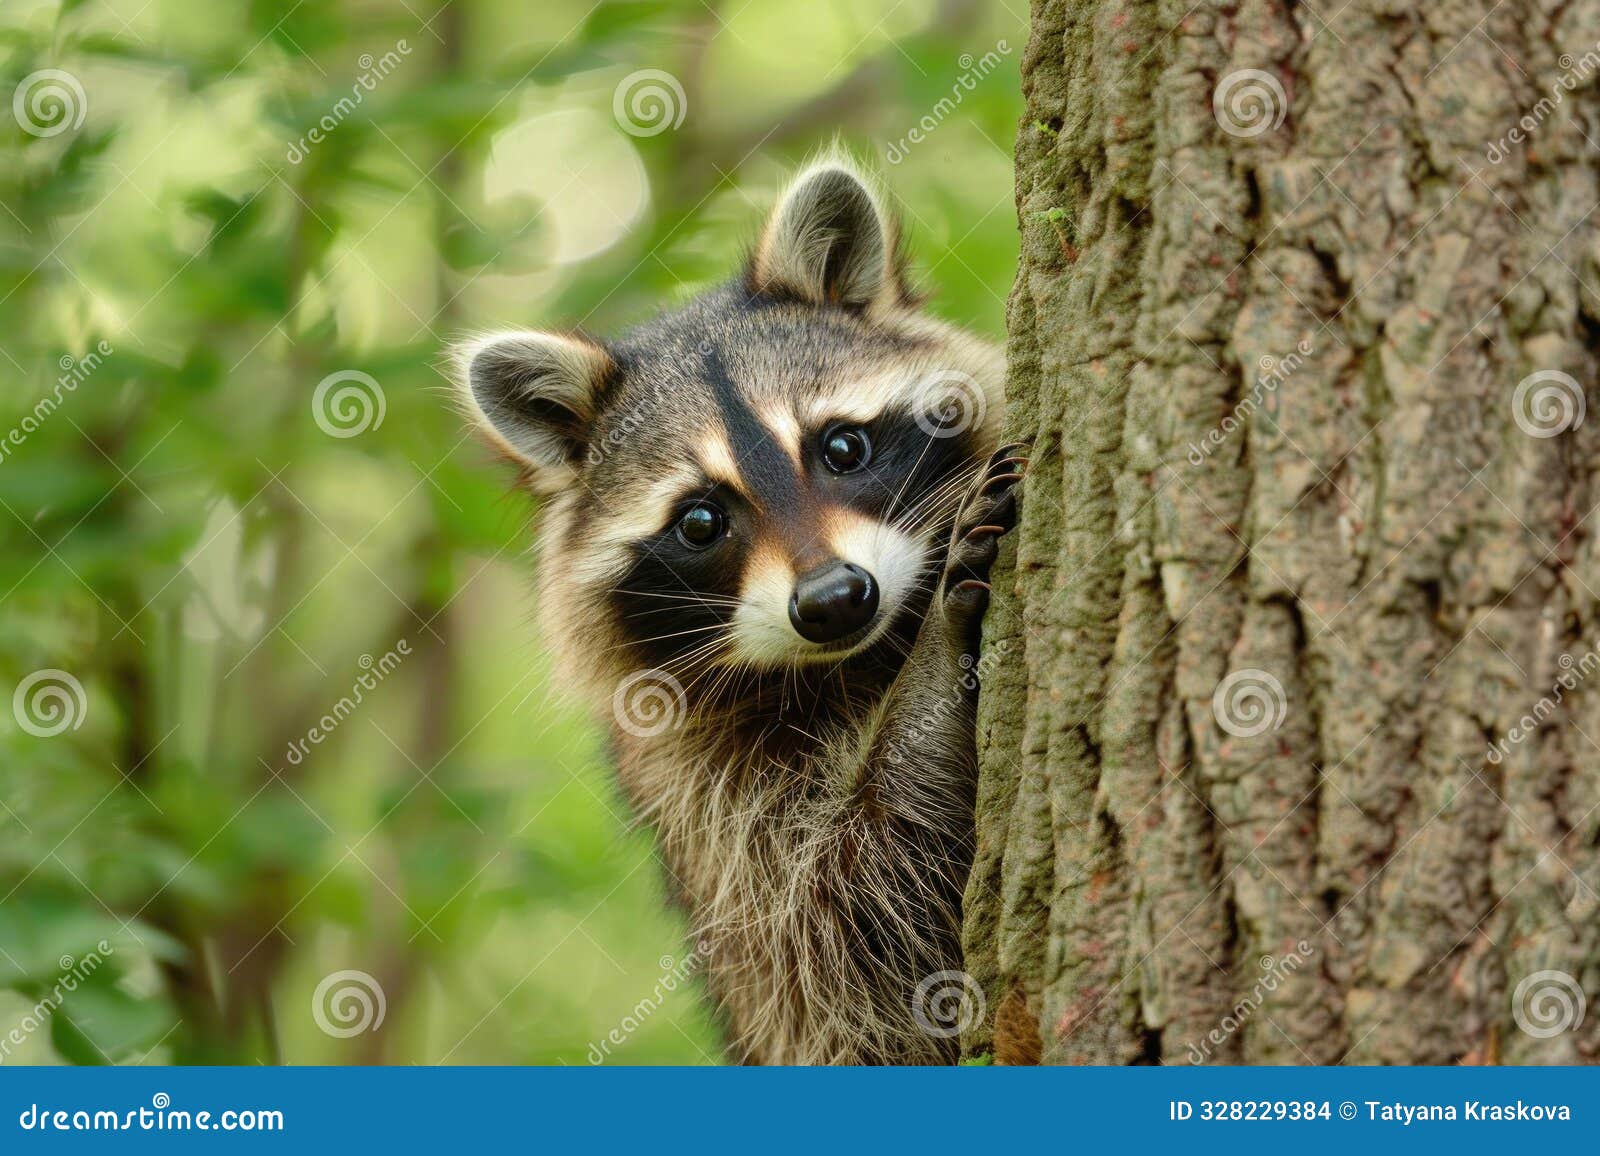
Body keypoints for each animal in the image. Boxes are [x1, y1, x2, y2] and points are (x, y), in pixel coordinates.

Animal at [454, 158, 1022, 1064]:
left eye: (843, 447)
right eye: (700, 521)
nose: (834, 600)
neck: (854, 658)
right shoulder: (704, 793)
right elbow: (855, 924)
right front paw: (935, 663)